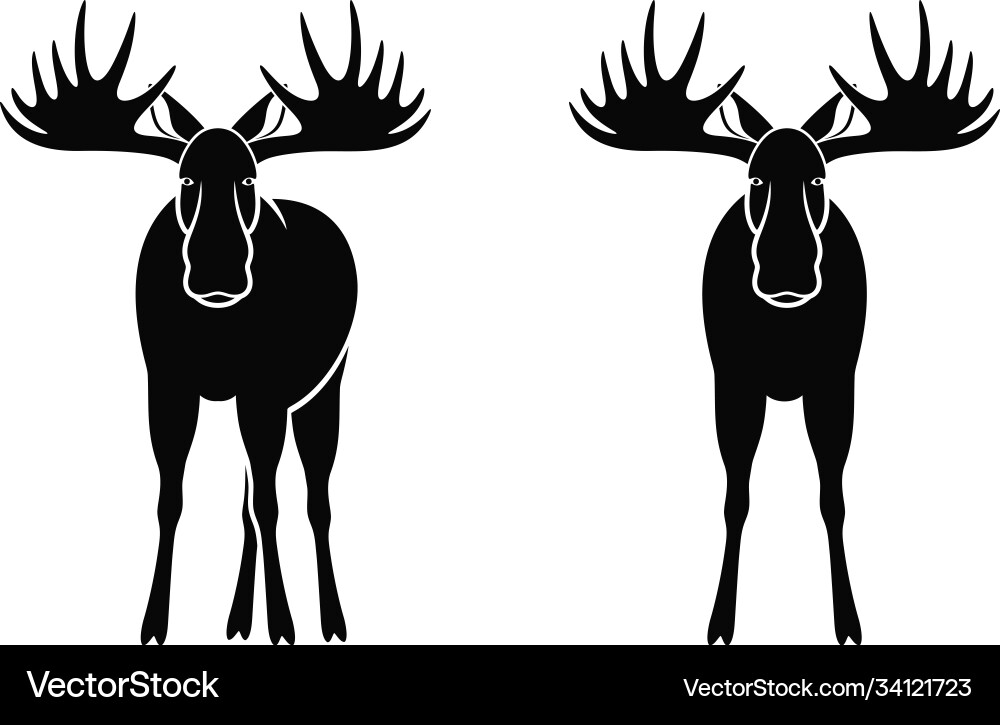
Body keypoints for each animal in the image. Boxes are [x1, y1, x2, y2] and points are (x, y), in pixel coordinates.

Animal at [3, 1, 429, 644]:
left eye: (249, 178)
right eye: (185, 178)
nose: (217, 270)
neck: (217, 331)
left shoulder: (266, 389)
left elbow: (273, 504)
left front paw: (284, 623)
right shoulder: (168, 383)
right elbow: (173, 499)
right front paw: (155, 619)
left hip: (323, 388)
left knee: (314, 497)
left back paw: (329, 618)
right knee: (250, 493)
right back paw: (236, 617)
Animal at [571, 1, 996, 644]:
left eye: (819, 178)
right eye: (754, 178)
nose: (786, 271)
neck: (785, 334)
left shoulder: (836, 378)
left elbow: (832, 499)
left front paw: (848, 620)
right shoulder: (733, 378)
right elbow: (736, 498)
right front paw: (720, 620)